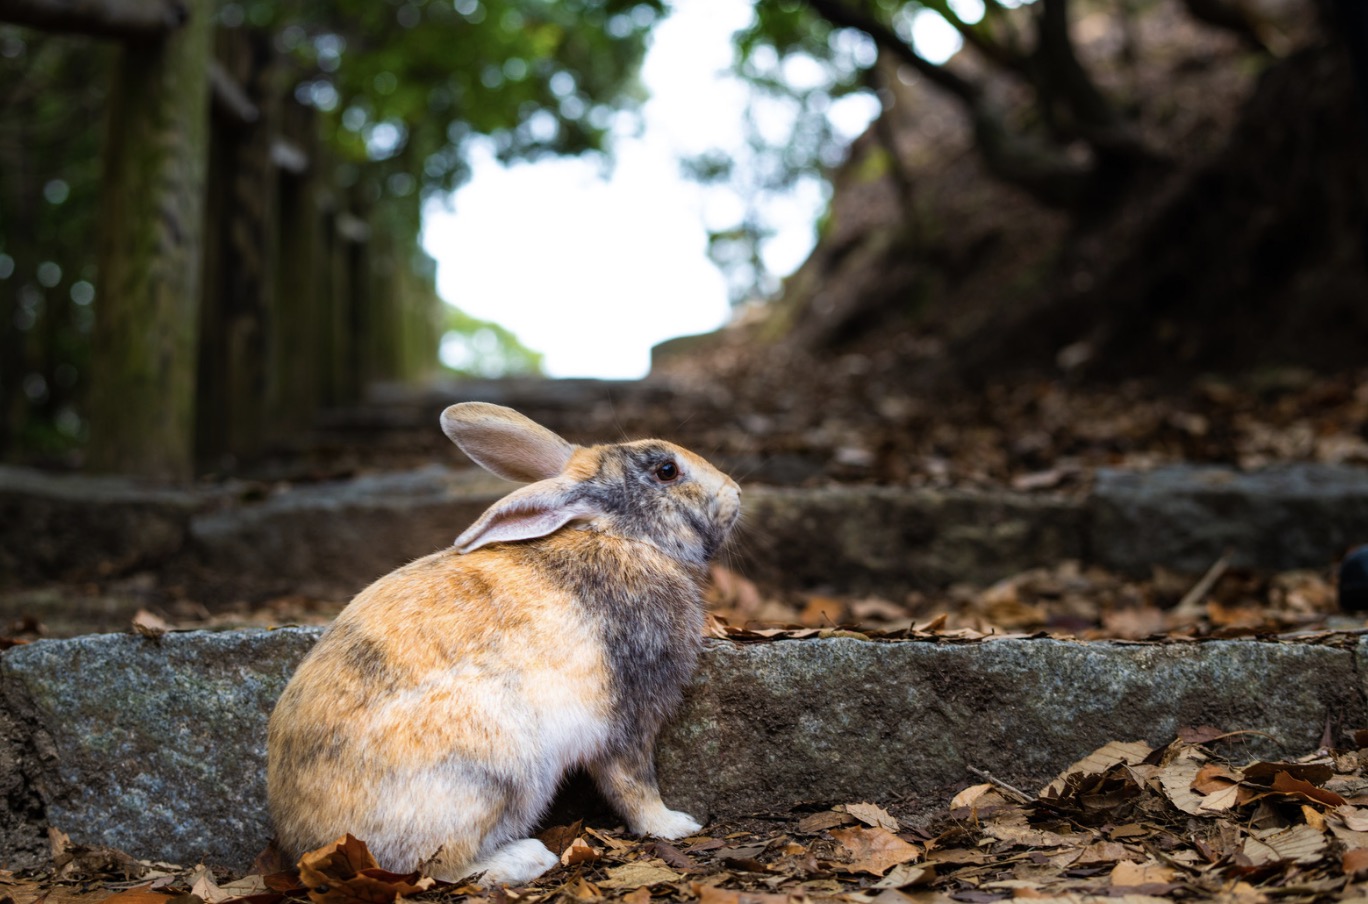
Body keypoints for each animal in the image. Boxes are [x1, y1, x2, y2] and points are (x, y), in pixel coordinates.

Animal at [267, 402, 741, 886]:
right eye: (667, 471)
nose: (736, 493)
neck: (621, 536)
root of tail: (305, 846)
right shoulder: (628, 715)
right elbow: (633, 783)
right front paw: (674, 825)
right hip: (498, 772)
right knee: (438, 864)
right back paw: (527, 859)